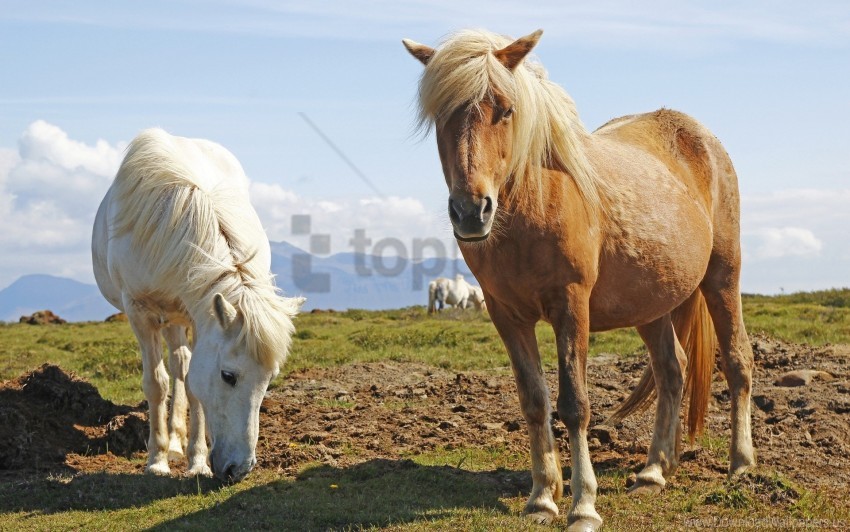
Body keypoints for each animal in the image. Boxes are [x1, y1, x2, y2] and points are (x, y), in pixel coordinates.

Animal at [92, 129, 304, 482]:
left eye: (269, 379)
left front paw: (197, 461)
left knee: (181, 365)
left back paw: (181, 443)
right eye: (228, 376)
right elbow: (156, 383)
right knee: (175, 366)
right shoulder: (140, 313)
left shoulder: (197, 316)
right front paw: (157, 461)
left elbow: (192, 383)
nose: (240, 469)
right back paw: (171, 445)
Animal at [403, 29, 754, 530]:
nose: (471, 211)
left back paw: (742, 464)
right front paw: (541, 498)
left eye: (505, 109)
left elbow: (574, 404)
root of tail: (702, 138)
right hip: (651, 304)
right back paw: (653, 470)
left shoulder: (572, 306)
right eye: (440, 115)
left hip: (722, 277)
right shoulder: (506, 315)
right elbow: (534, 401)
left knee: (739, 360)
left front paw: (583, 505)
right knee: (672, 371)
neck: (534, 202)